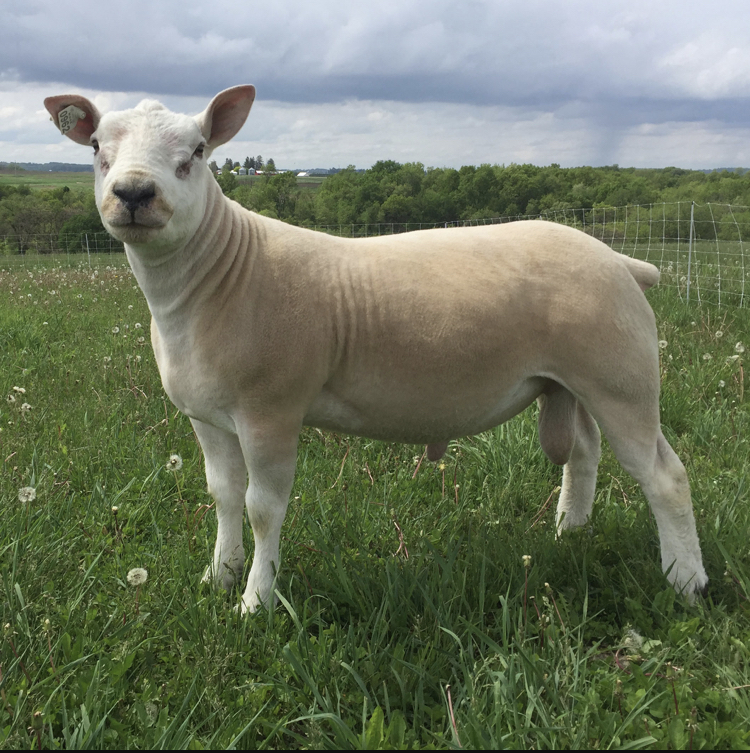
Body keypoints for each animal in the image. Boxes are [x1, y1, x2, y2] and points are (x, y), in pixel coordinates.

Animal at [44, 86, 708, 613]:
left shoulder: (271, 412)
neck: (219, 275)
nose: (134, 193)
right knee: (585, 455)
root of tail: (620, 259)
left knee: (665, 478)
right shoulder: (206, 417)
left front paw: (256, 602)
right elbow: (224, 498)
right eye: (96, 148)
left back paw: (686, 580)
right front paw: (219, 577)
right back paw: (569, 533)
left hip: (621, 377)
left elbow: (262, 509)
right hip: (571, 381)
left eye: (197, 154)